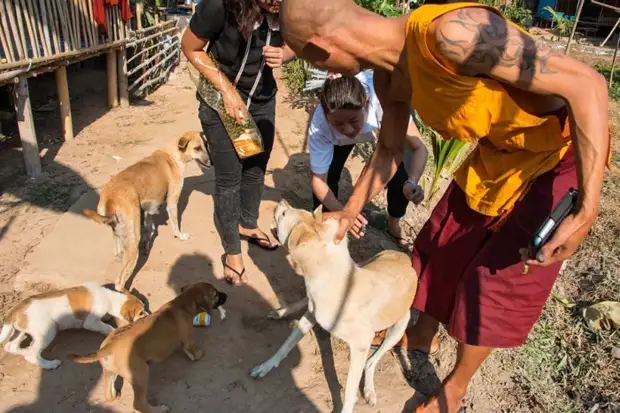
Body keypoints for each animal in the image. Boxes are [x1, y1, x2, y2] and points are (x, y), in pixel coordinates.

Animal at [0, 282, 146, 368]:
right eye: (140, 312)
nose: (147, 316)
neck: (109, 297)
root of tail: (15, 309)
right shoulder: (90, 323)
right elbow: (107, 327)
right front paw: (112, 329)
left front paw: (108, 317)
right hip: (48, 330)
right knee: (31, 355)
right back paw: (49, 364)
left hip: (20, 331)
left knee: (10, 346)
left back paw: (24, 350)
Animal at [68, 282, 228, 412]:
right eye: (215, 294)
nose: (226, 295)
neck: (183, 302)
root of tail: (108, 347)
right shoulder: (188, 342)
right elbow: (193, 352)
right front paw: (200, 353)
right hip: (141, 373)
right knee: (138, 404)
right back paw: (159, 409)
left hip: (109, 371)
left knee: (108, 393)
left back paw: (114, 395)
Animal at [85, 131, 211, 290]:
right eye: (197, 148)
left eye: (205, 144)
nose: (211, 163)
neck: (172, 156)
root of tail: (111, 199)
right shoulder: (171, 202)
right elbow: (175, 224)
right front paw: (180, 236)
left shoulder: (149, 209)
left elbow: (150, 226)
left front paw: (148, 241)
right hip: (133, 239)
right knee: (119, 282)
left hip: (119, 235)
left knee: (117, 251)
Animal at [249, 200, 418, 412]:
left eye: (285, 213)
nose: (282, 201)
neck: (326, 275)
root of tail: (405, 258)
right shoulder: (310, 316)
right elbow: (285, 346)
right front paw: (266, 366)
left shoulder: (362, 342)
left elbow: (350, 391)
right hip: (366, 265)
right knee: (304, 301)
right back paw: (281, 312)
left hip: (399, 328)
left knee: (371, 363)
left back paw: (370, 390)